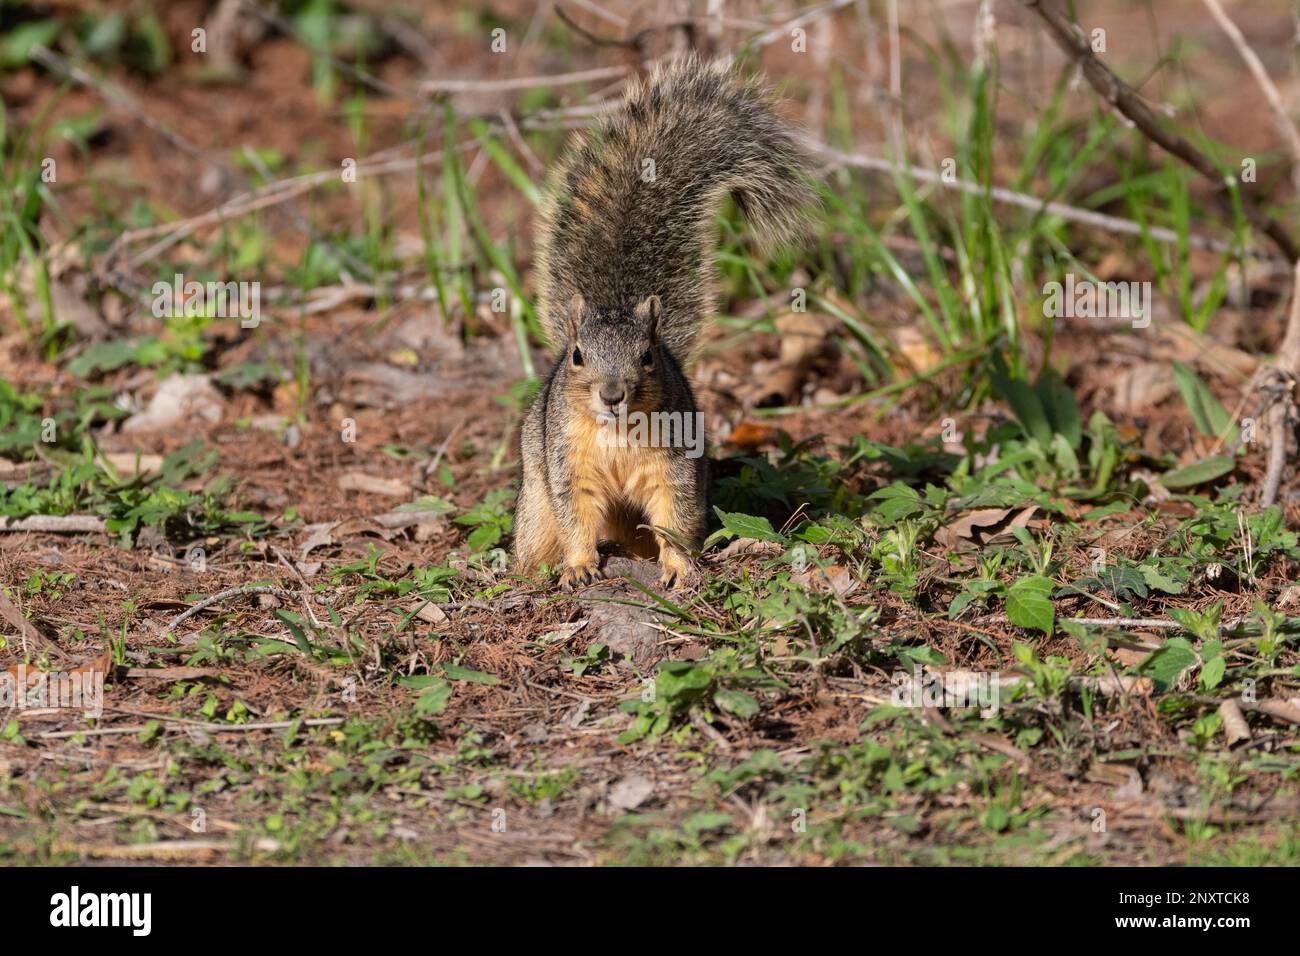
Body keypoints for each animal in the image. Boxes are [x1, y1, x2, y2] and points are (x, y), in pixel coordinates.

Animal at [513, 54, 815, 590]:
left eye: (648, 357)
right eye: (578, 356)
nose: (613, 394)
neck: (617, 431)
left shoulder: (674, 468)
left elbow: (675, 516)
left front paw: (678, 568)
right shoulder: (569, 464)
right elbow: (576, 518)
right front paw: (579, 565)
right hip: (535, 502)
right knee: (543, 534)